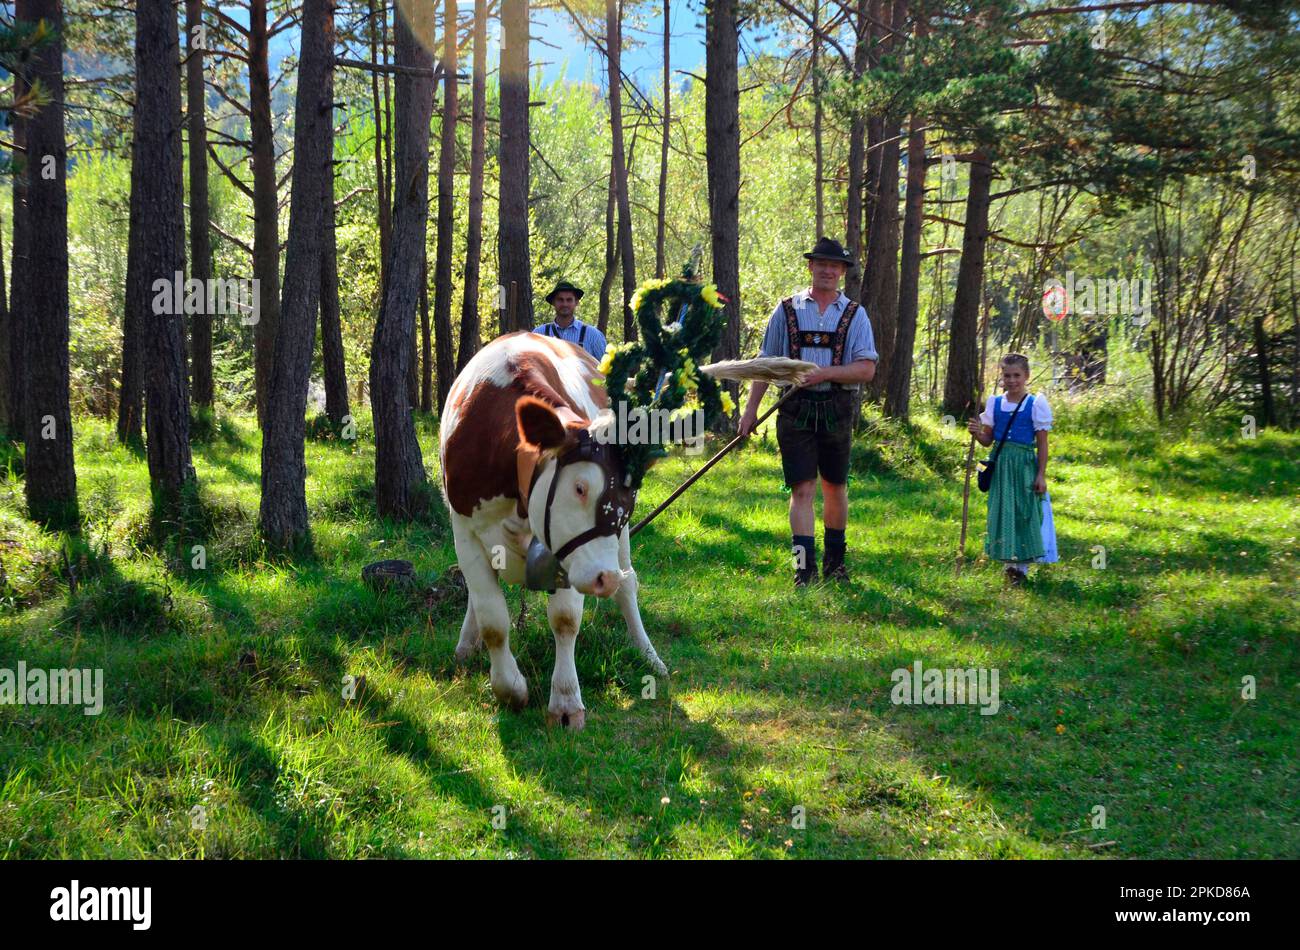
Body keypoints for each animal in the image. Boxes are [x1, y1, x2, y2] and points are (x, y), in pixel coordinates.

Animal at [439, 331, 667, 730]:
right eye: (580, 488)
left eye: (630, 494)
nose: (603, 579)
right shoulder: (464, 529)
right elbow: (492, 618)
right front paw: (509, 688)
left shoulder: (569, 553)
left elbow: (564, 620)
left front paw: (565, 702)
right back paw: (467, 645)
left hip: (618, 545)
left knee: (629, 584)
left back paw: (648, 654)